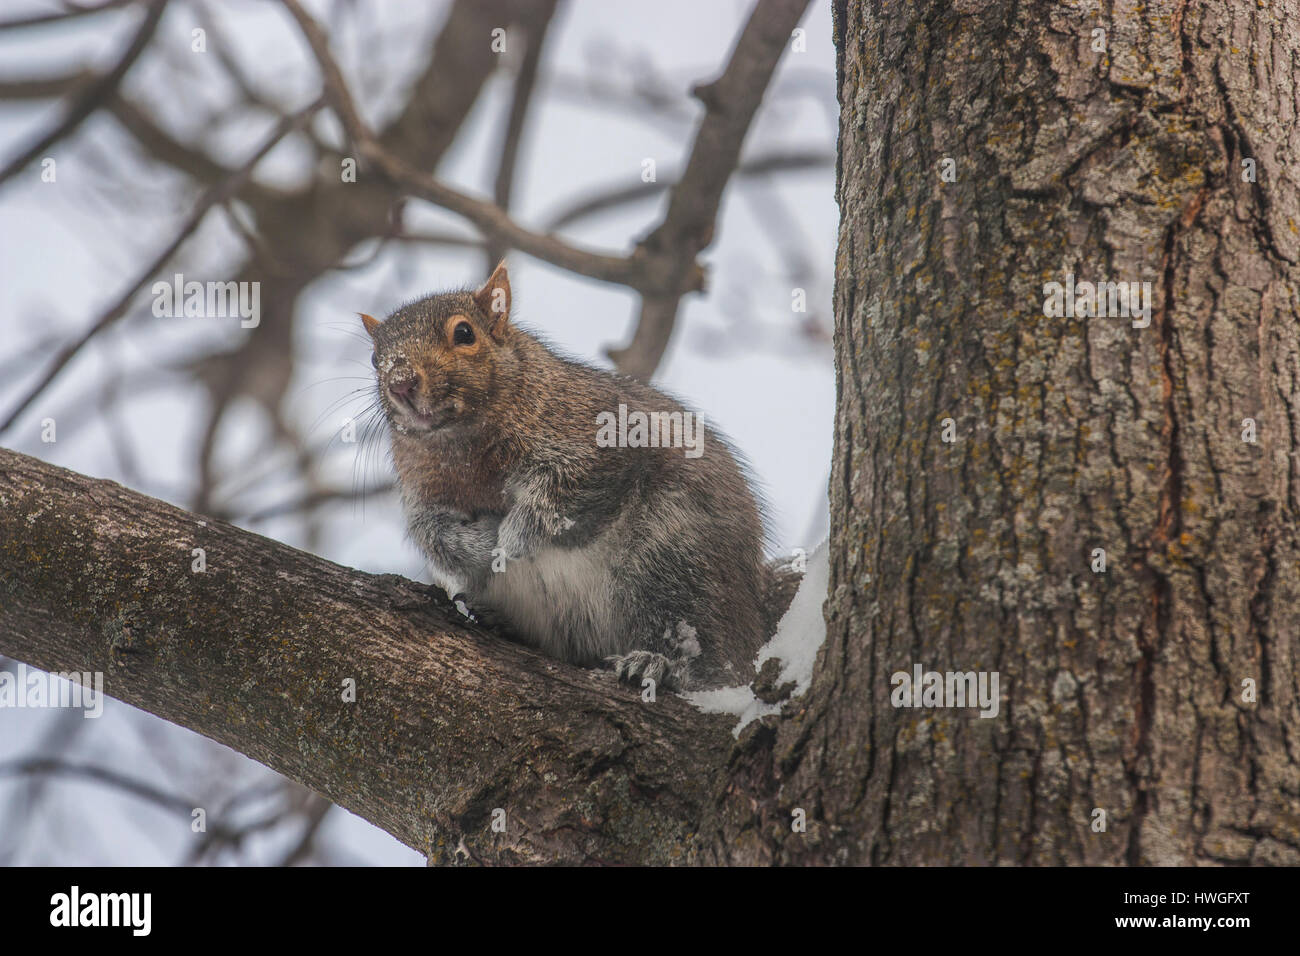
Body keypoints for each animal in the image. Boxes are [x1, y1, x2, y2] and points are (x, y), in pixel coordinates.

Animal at [361, 261, 792, 691]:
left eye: (464, 333)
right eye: (375, 358)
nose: (400, 383)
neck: (459, 446)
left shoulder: (604, 439)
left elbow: (565, 494)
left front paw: (511, 538)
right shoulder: (422, 493)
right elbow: (433, 535)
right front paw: (481, 544)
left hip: (674, 559)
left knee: (709, 658)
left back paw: (658, 664)